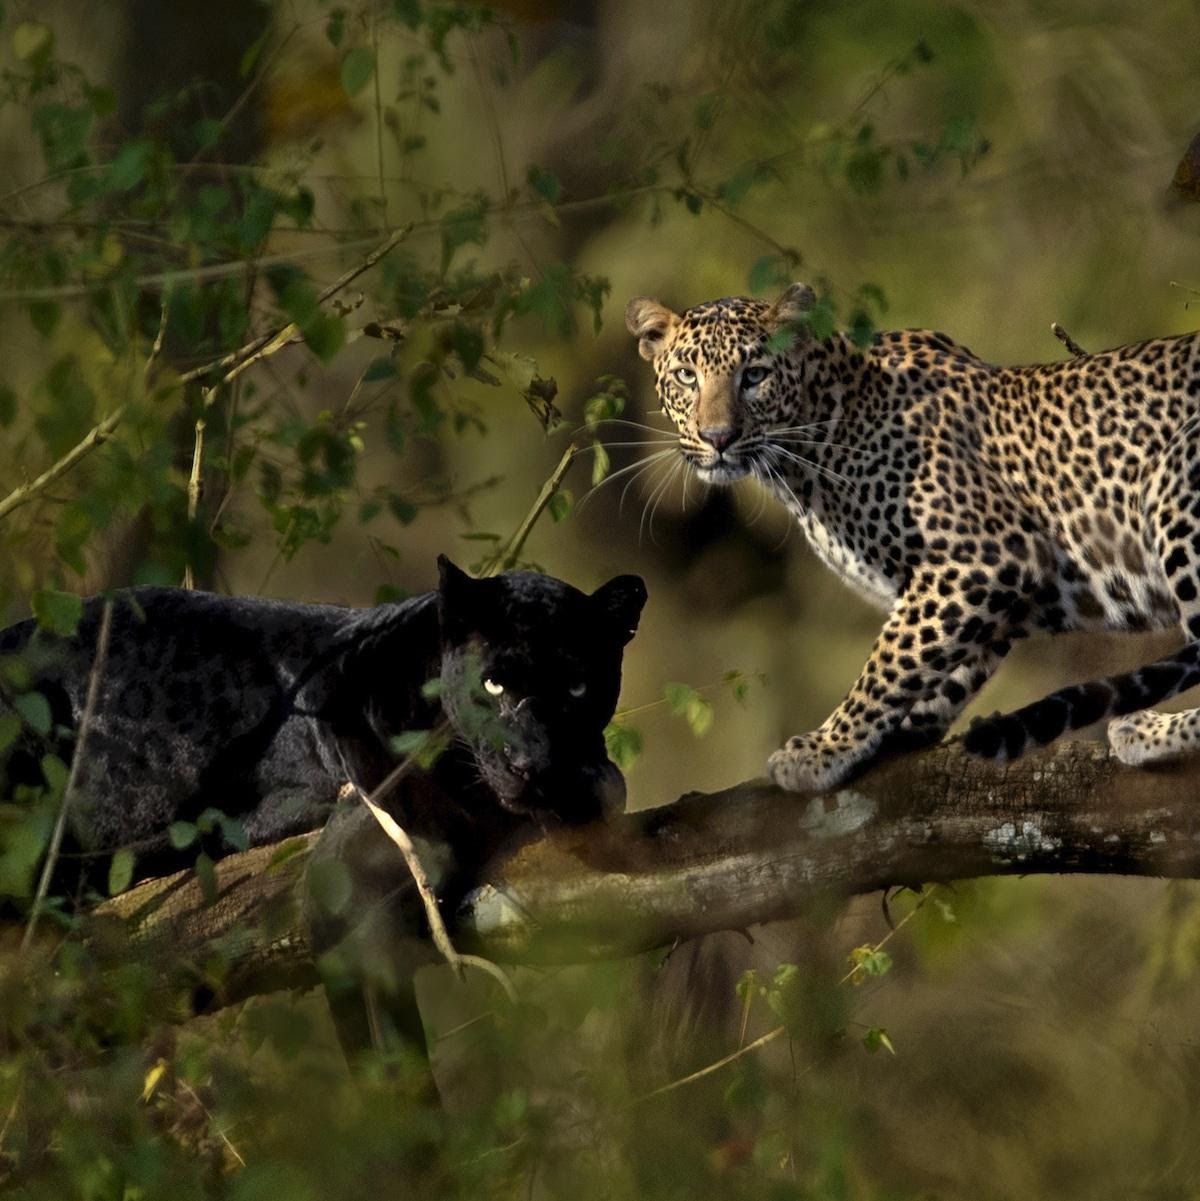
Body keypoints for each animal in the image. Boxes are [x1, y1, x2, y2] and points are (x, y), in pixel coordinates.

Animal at [625, 281, 1200, 793]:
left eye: (755, 375)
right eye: (685, 376)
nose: (717, 438)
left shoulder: (986, 556)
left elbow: (890, 662)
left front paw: (824, 748)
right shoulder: (981, 592)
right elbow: (940, 659)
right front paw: (897, 731)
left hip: (1175, 491)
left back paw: (1149, 730)